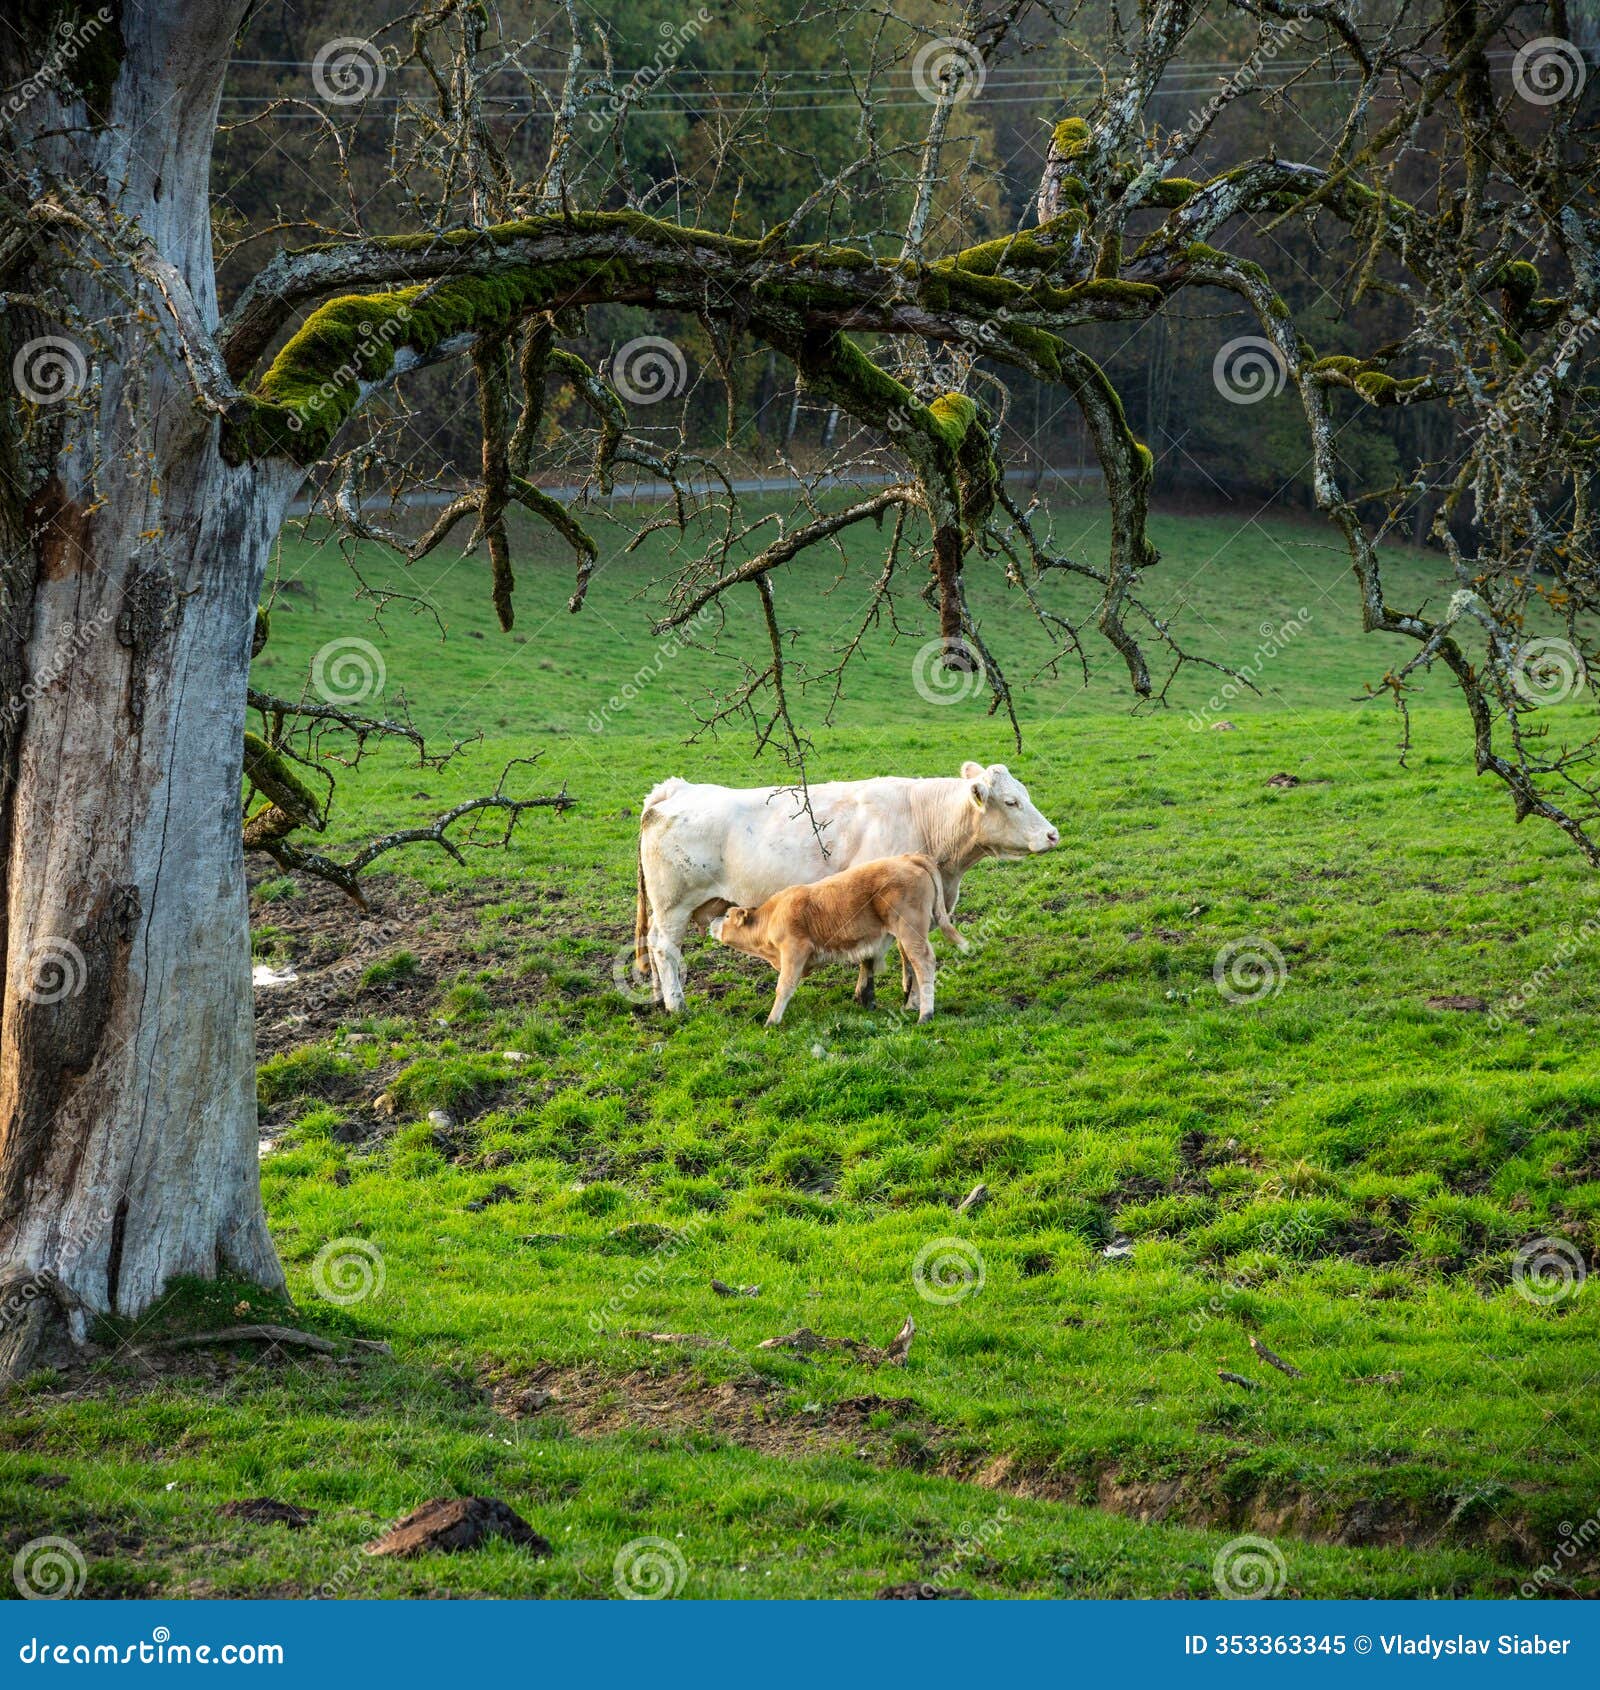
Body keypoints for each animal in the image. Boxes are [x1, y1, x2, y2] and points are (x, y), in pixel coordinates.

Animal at [710, 854, 969, 1025]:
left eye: (727, 915)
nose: (712, 922)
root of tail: (910, 857)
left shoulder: (794, 950)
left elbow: (784, 986)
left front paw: (771, 1021)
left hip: (910, 929)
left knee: (923, 962)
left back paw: (925, 1014)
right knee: (913, 963)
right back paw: (911, 1005)